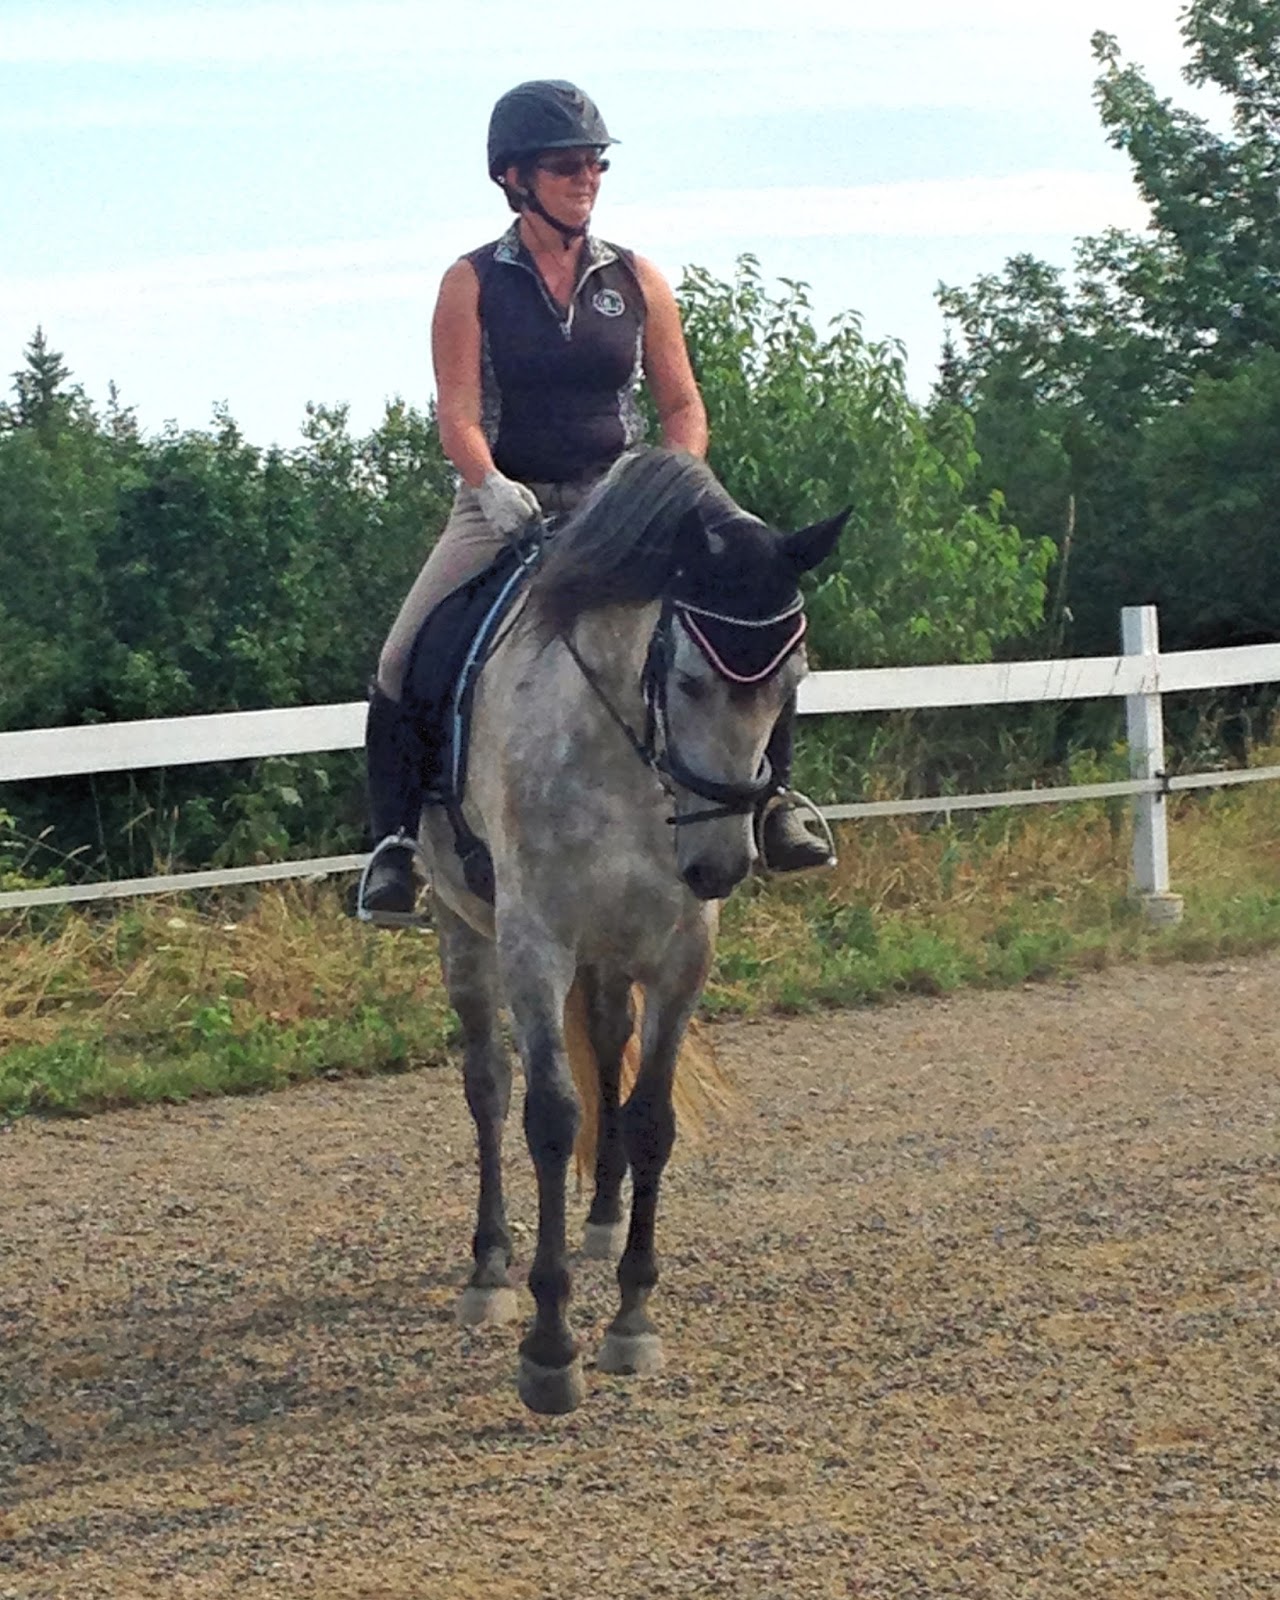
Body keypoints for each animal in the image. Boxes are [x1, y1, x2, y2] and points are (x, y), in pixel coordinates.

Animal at [417, 446, 847, 1414]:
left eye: (793, 685)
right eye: (687, 680)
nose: (720, 865)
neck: (618, 739)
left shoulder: (683, 950)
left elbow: (648, 1117)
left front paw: (632, 1319)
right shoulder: (533, 944)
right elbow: (547, 1114)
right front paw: (549, 1348)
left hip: (612, 951)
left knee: (609, 1042)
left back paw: (606, 1219)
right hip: (465, 931)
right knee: (487, 1084)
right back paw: (490, 1269)